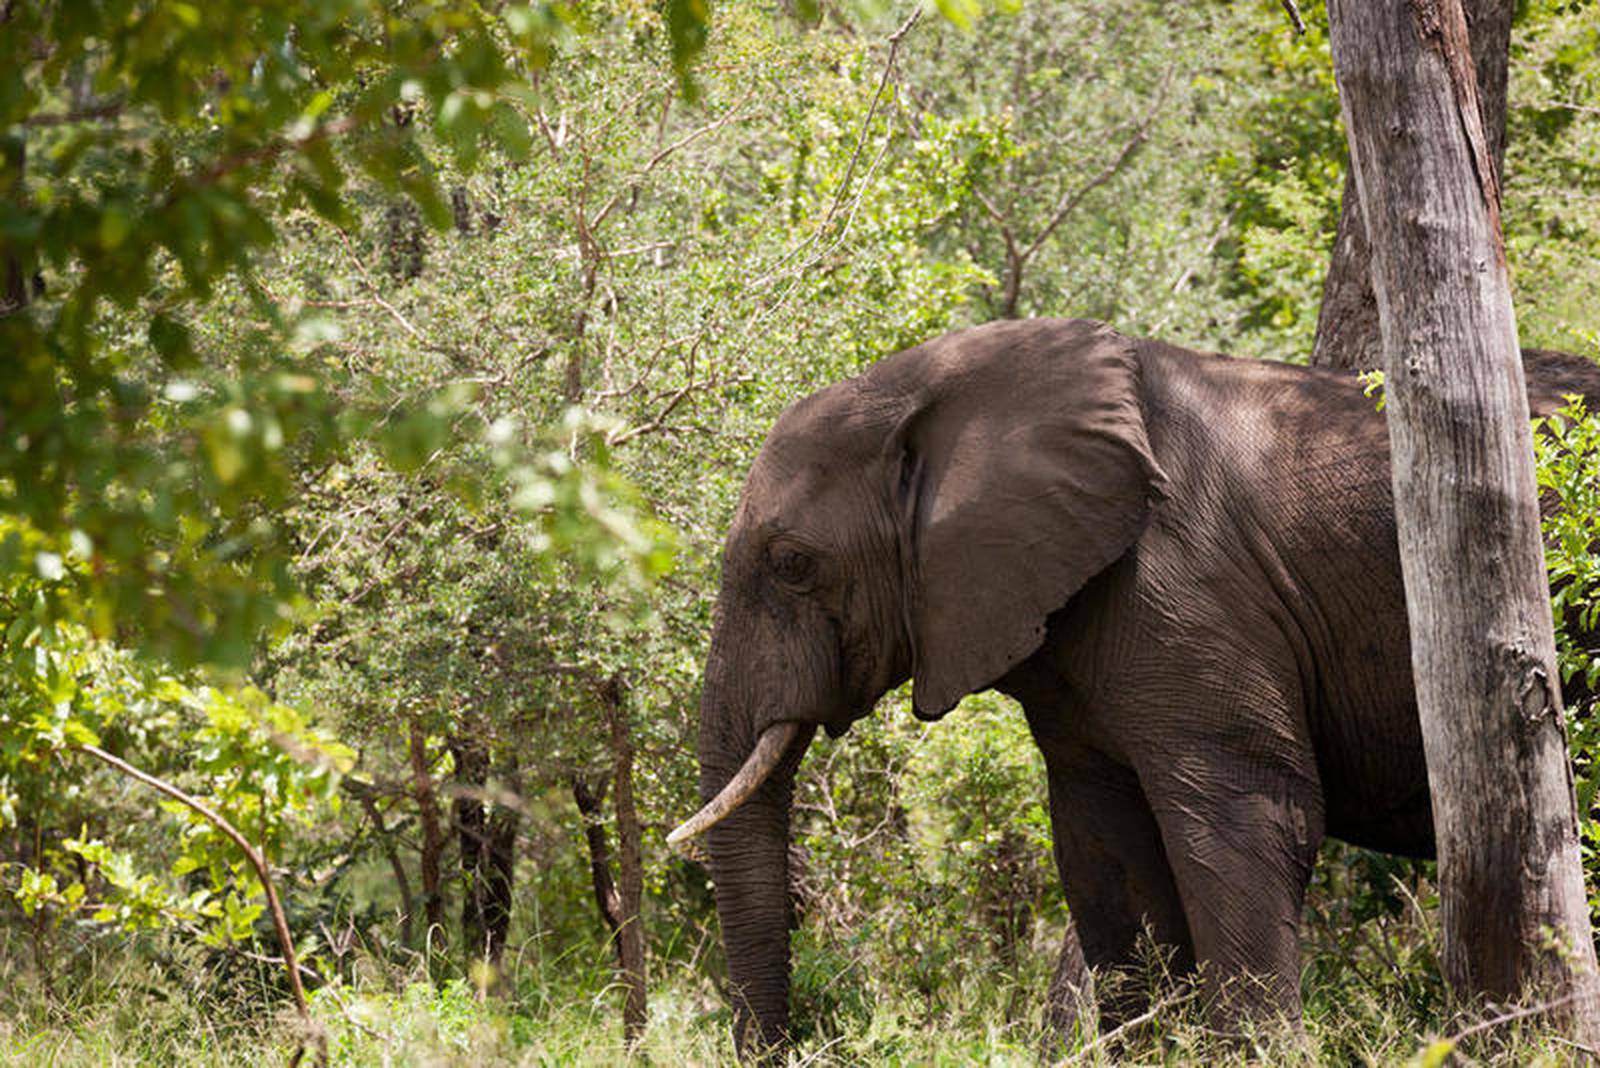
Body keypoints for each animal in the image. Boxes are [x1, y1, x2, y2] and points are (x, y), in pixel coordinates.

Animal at [667, 317, 1600, 1052]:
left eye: (793, 564)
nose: (788, 1046)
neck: (936, 386)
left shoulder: (1188, 586)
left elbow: (1258, 811)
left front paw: (1256, 1054)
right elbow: (1100, 837)